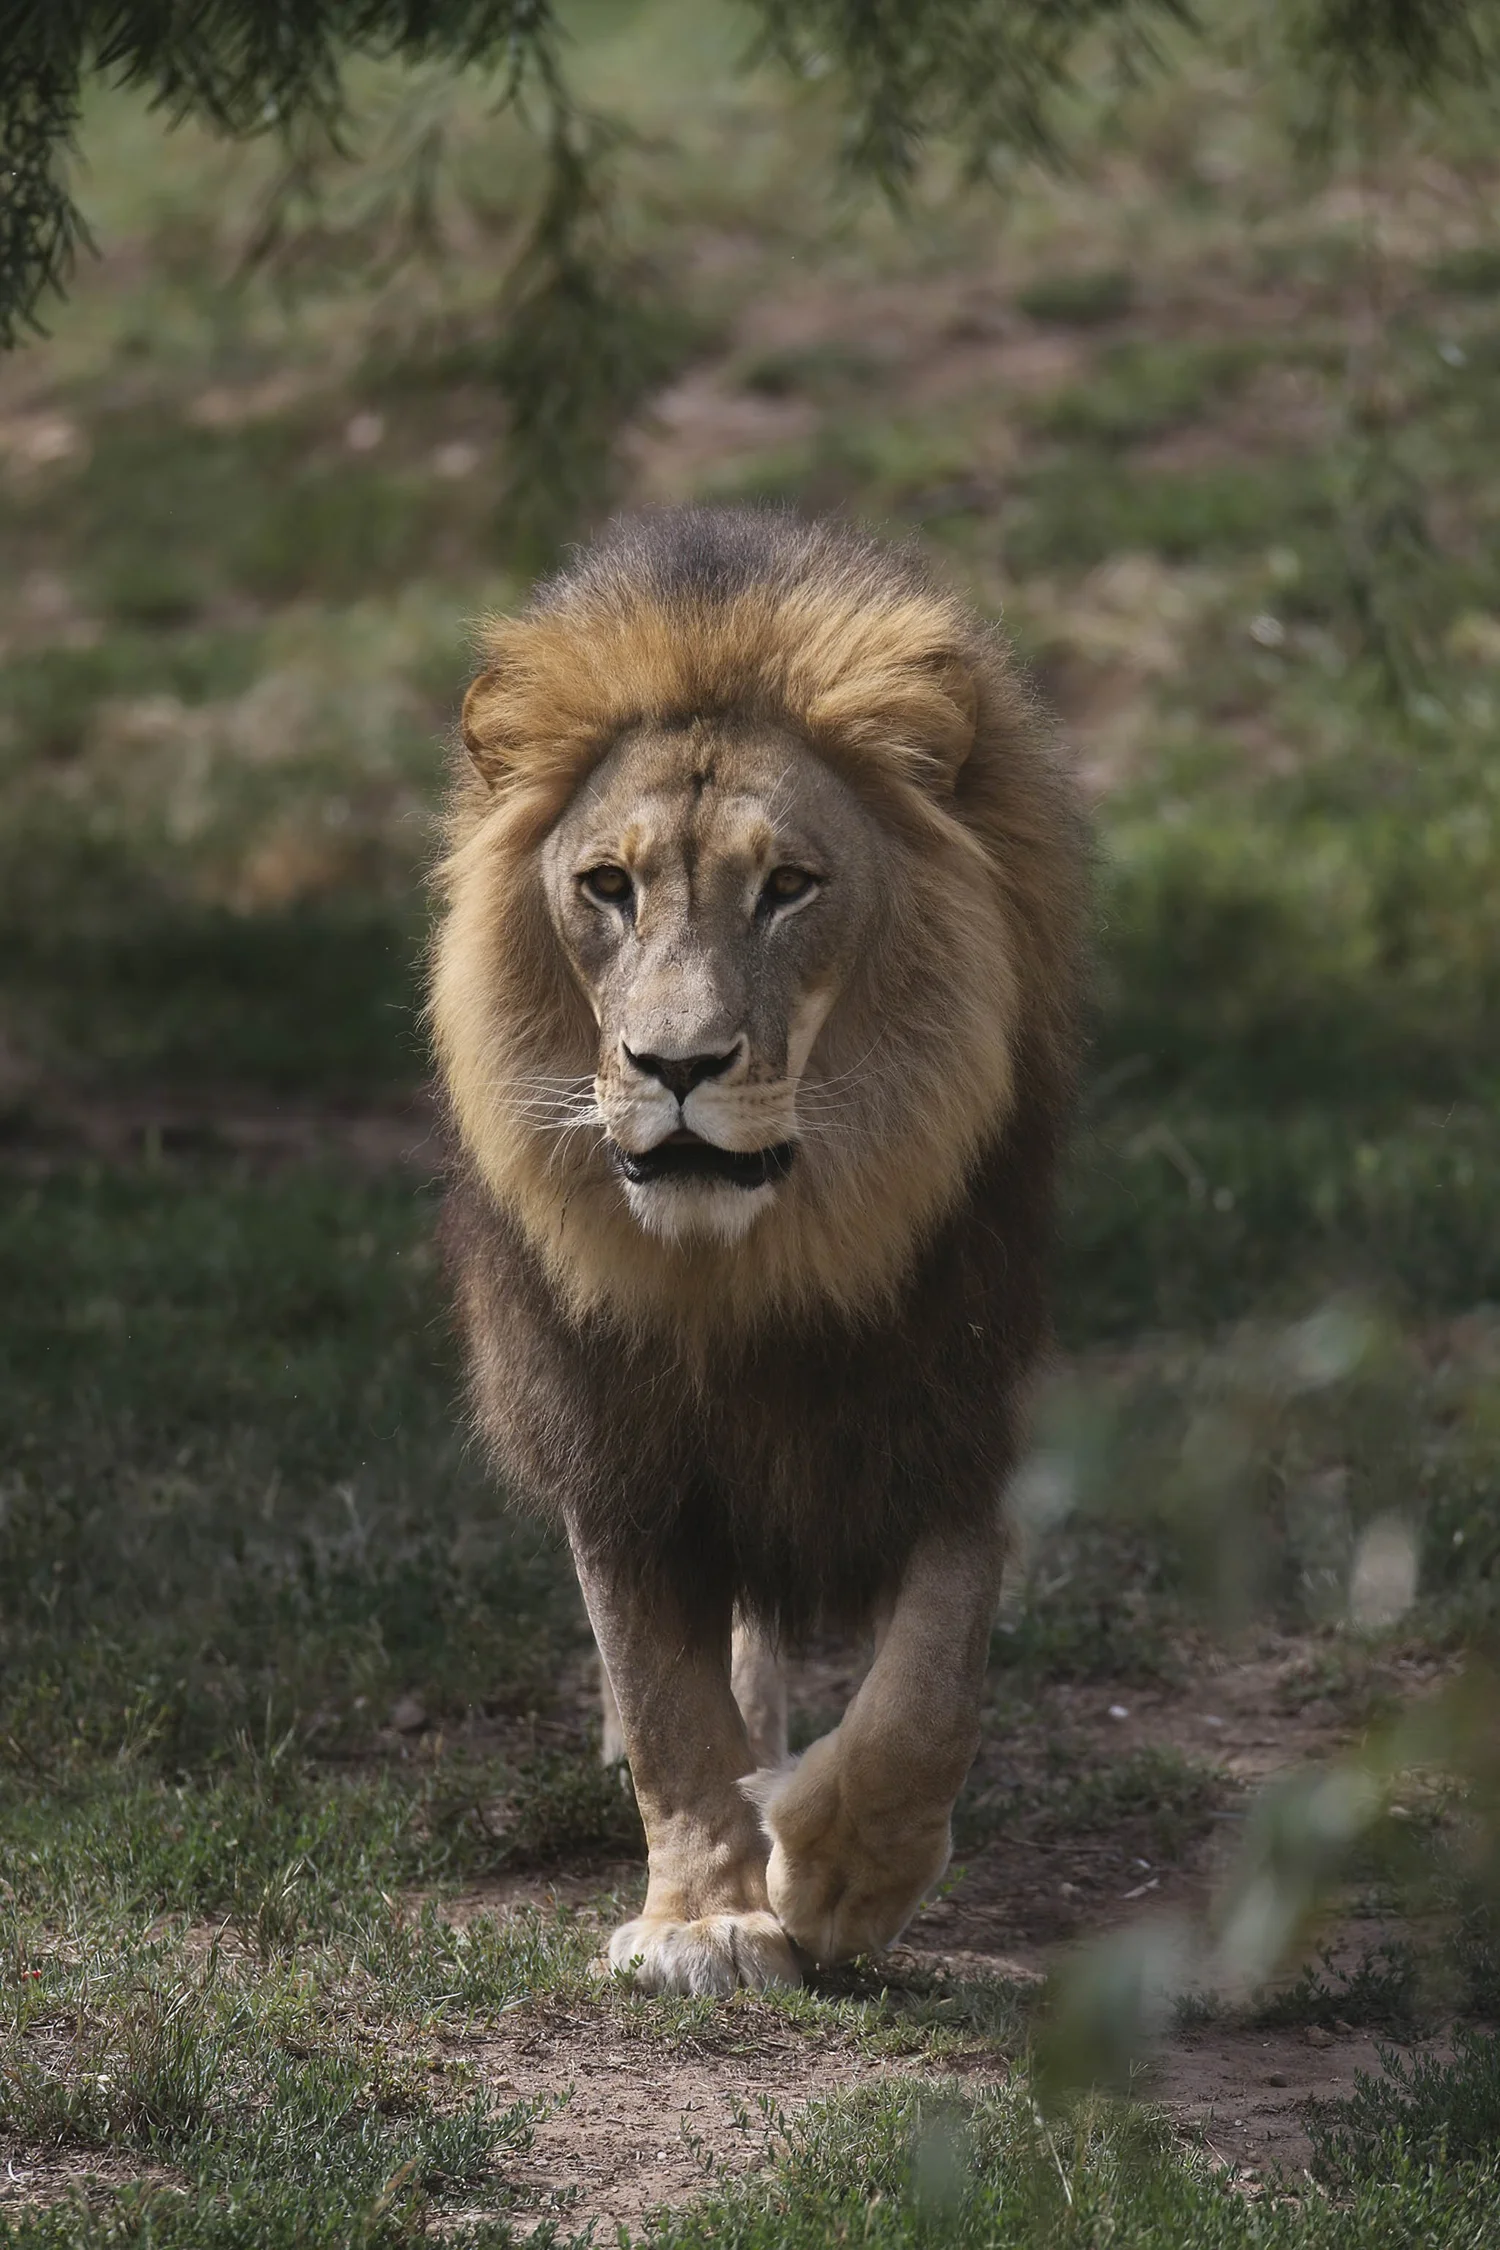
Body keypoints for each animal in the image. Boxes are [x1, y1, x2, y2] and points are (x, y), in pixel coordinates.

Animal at [431, 506, 1087, 1997]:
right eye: (605, 886)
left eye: (788, 887)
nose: (677, 1066)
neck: (747, 1268)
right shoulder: (608, 1438)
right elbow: (666, 1697)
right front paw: (705, 1916)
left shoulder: (959, 1397)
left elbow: (928, 1690)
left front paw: (839, 1881)